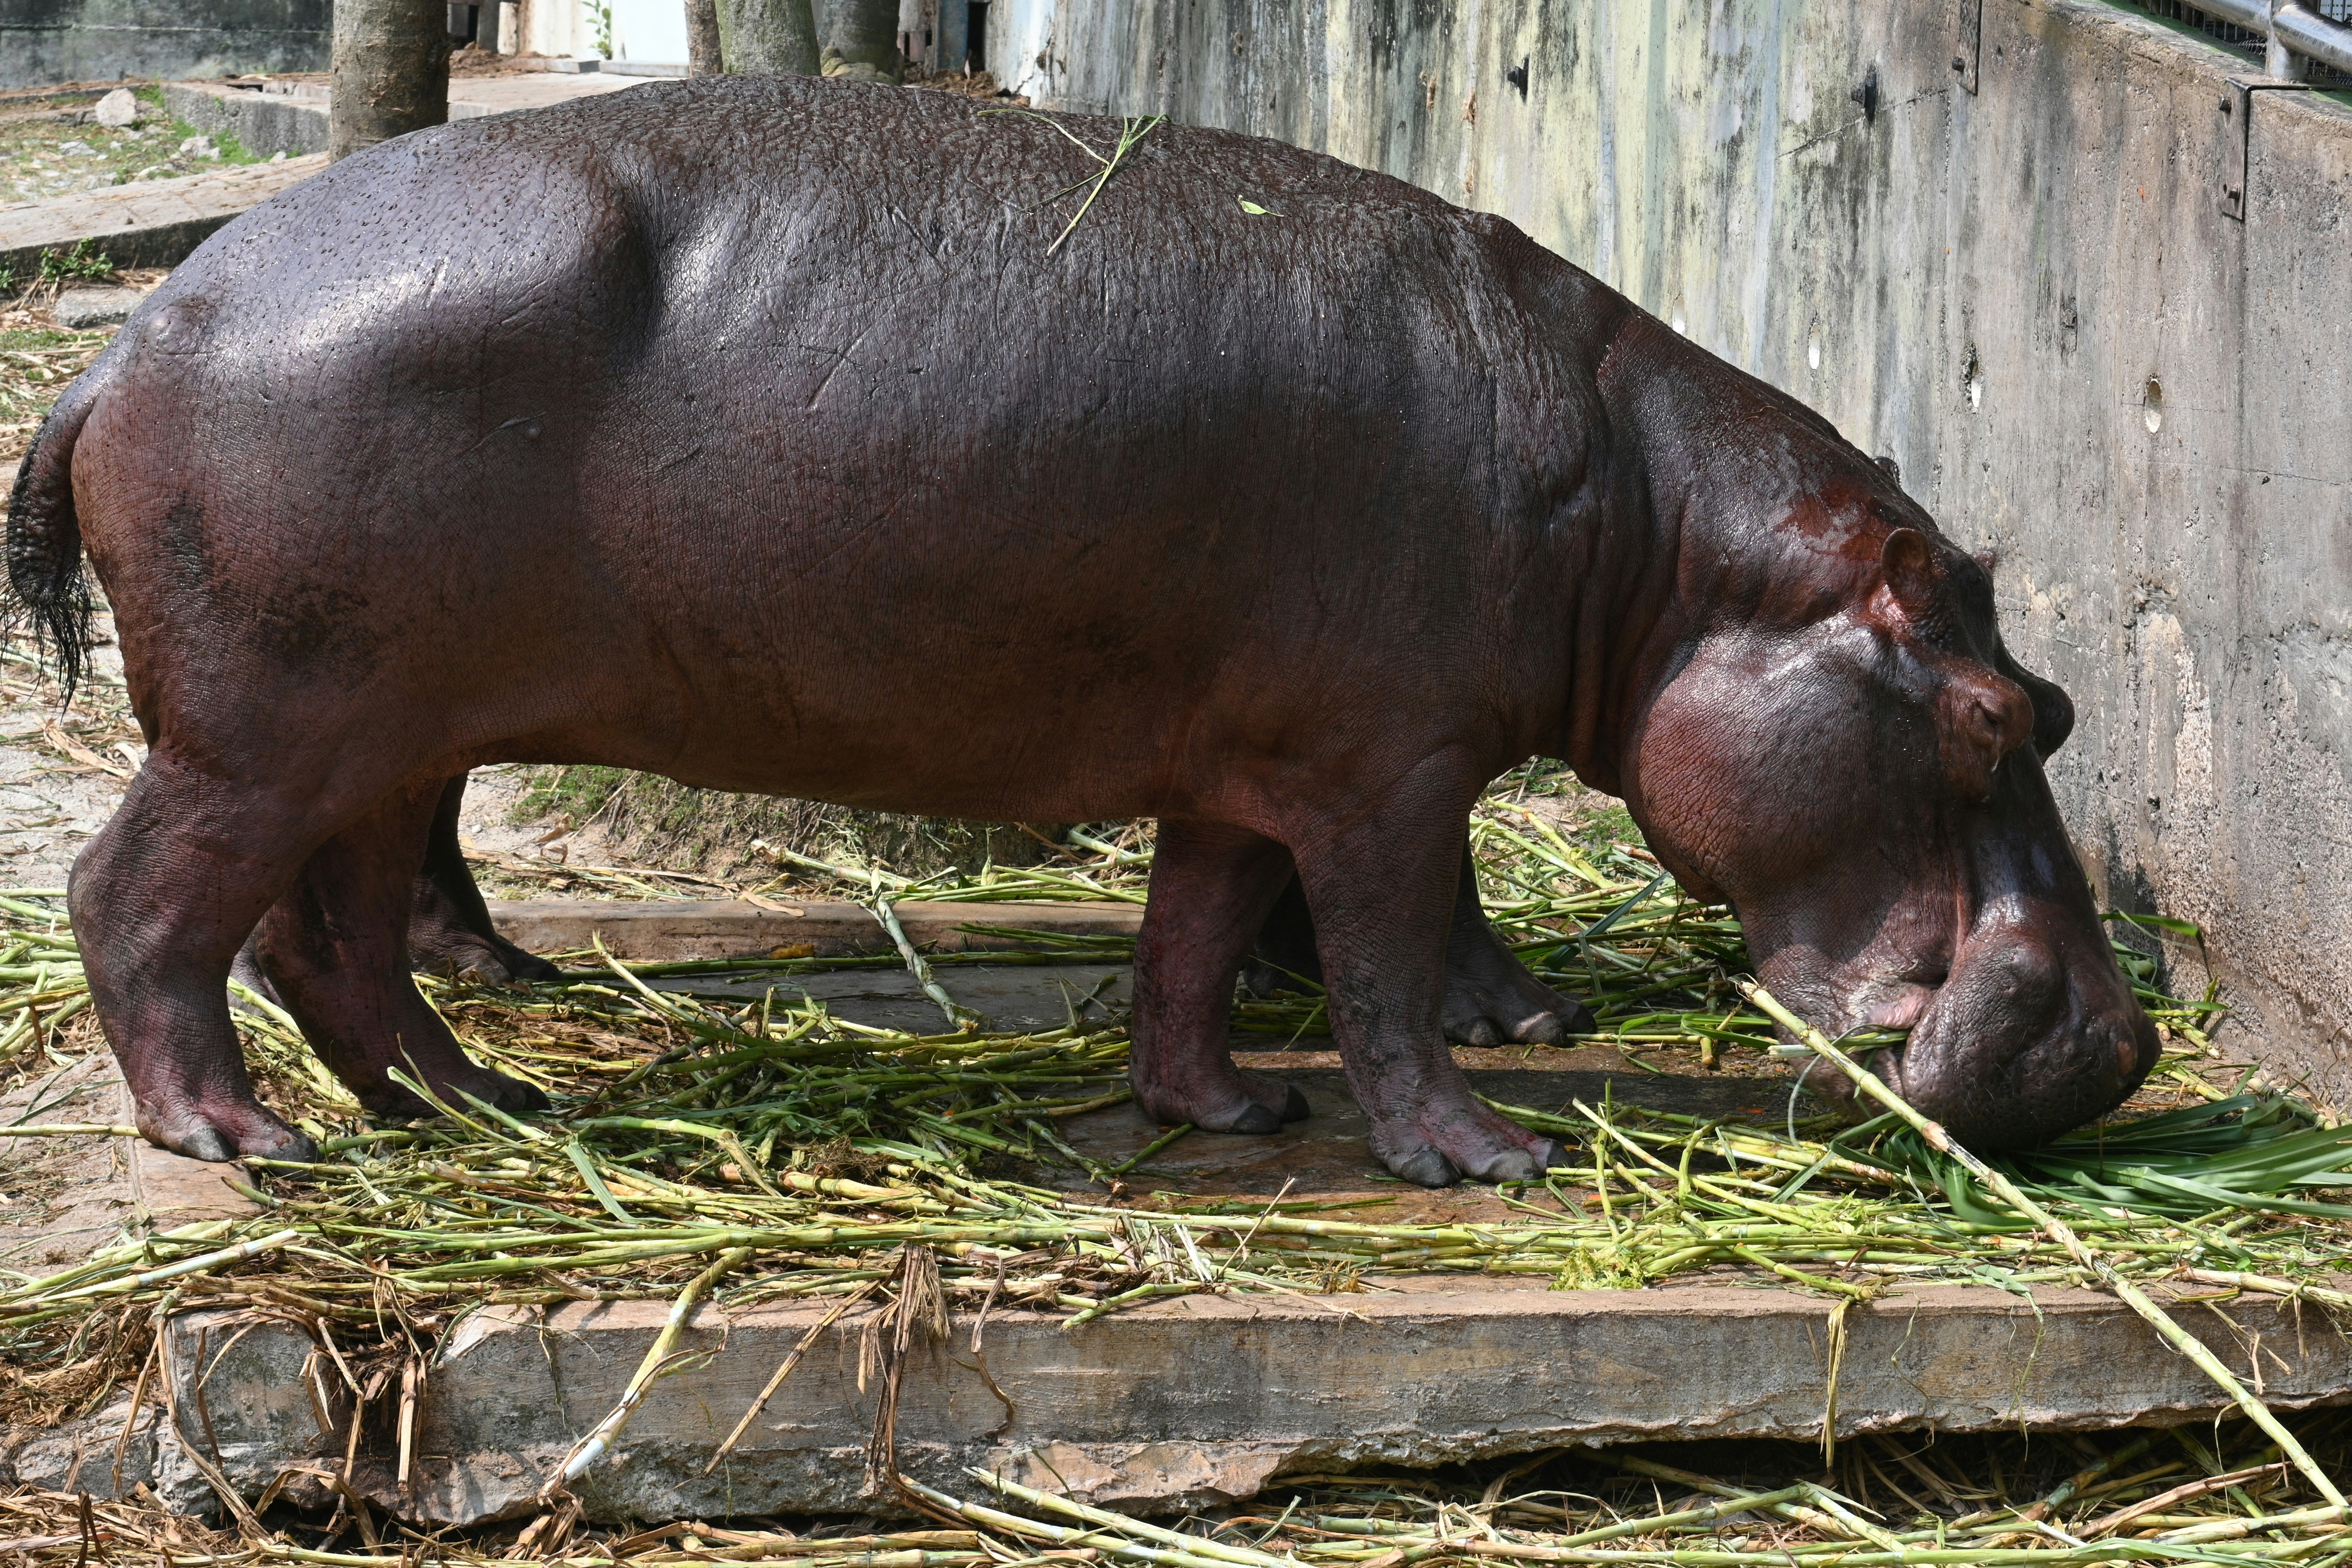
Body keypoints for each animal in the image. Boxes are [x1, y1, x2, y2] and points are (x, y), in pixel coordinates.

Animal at [4, 76, 2157, 1185]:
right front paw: (1481, 1155)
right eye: (1996, 715)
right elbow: (1382, 966)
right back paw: (237, 1142)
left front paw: (1226, 1110)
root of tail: (132, 336)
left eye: (2059, 702)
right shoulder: (1390, 774)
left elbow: (1189, 943)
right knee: (142, 905)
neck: (1669, 547)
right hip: (269, 729)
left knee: (333, 935)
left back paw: (481, 1107)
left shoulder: (1245, 762)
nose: (2122, 1043)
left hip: (384, 730)